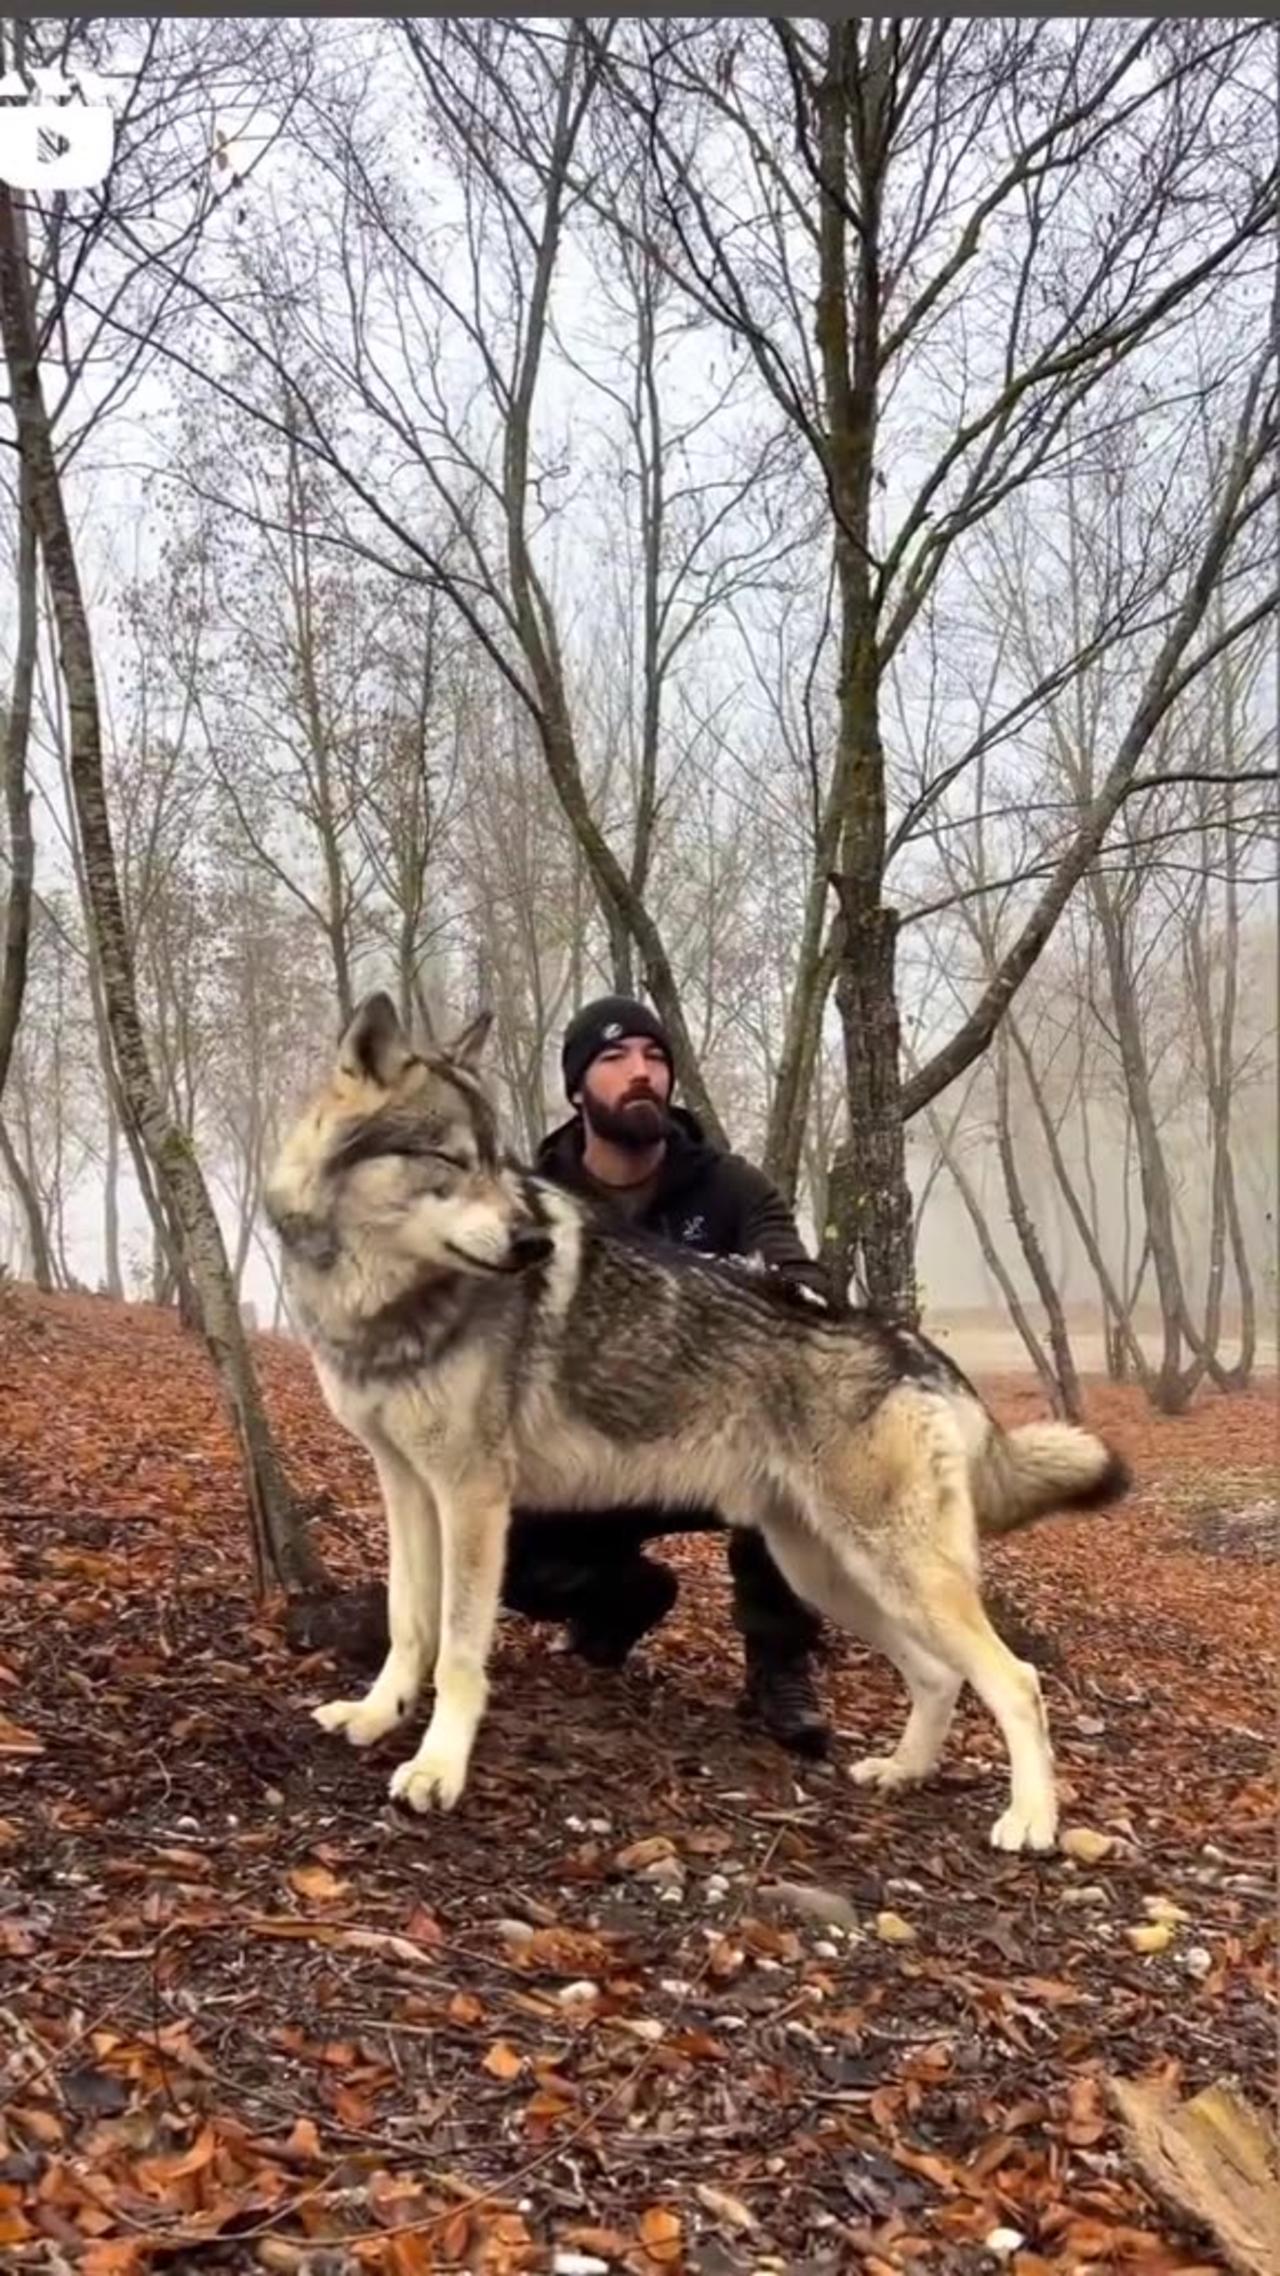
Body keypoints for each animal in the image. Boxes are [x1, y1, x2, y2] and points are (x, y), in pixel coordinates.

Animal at [266, 993, 1130, 1853]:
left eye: (500, 1162)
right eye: (448, 1160)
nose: (533, 1242)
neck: (385, 1307)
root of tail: (914, 1349)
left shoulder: (472, 1497)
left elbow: (456, 1653)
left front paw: (437, 1769)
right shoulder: (407, 1486)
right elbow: (407, 1624)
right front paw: (374, 1718)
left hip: (891, 1571)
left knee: (1016, 1681)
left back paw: (1030, 1821)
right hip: (828, 1573)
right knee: (939, 1673)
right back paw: (901, 1772)